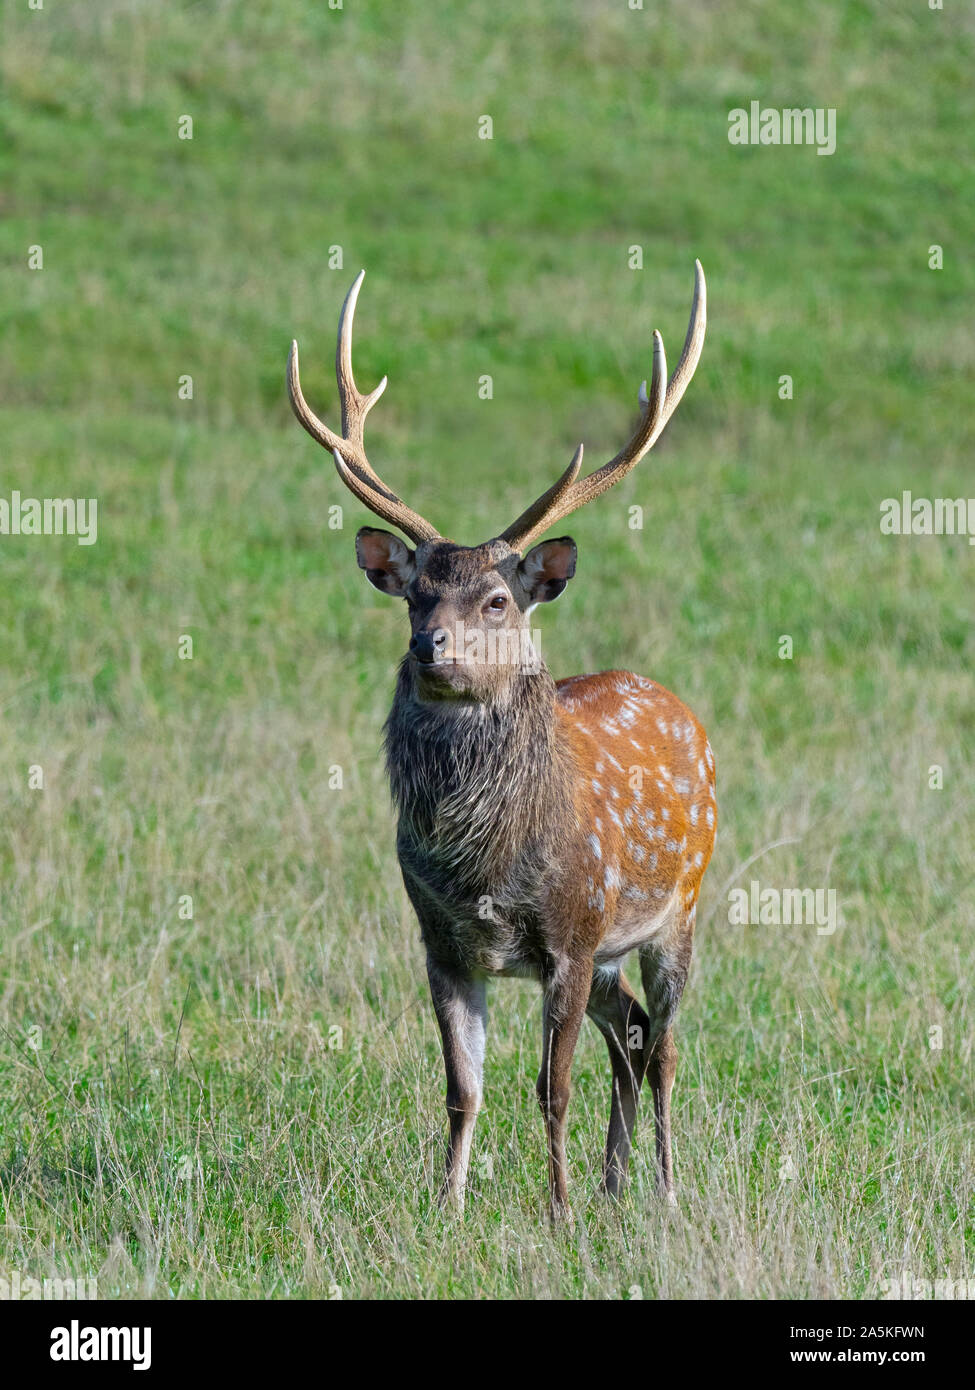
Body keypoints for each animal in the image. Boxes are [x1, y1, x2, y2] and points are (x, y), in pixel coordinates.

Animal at [287, 264, 716, 1220]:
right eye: (415, 593)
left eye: (495, 600)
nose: (429, 647)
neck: (484, 863)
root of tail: (676, 703)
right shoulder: (442, 941)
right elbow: (462, 1088)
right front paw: (445, 1208)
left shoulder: (570, 933)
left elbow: (549, 1090)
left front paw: (555, 1214)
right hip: (611, 953)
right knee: (631, 1032)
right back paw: (612, 1185)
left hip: (679, 906)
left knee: (665, 1045)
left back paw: (665, 1189)